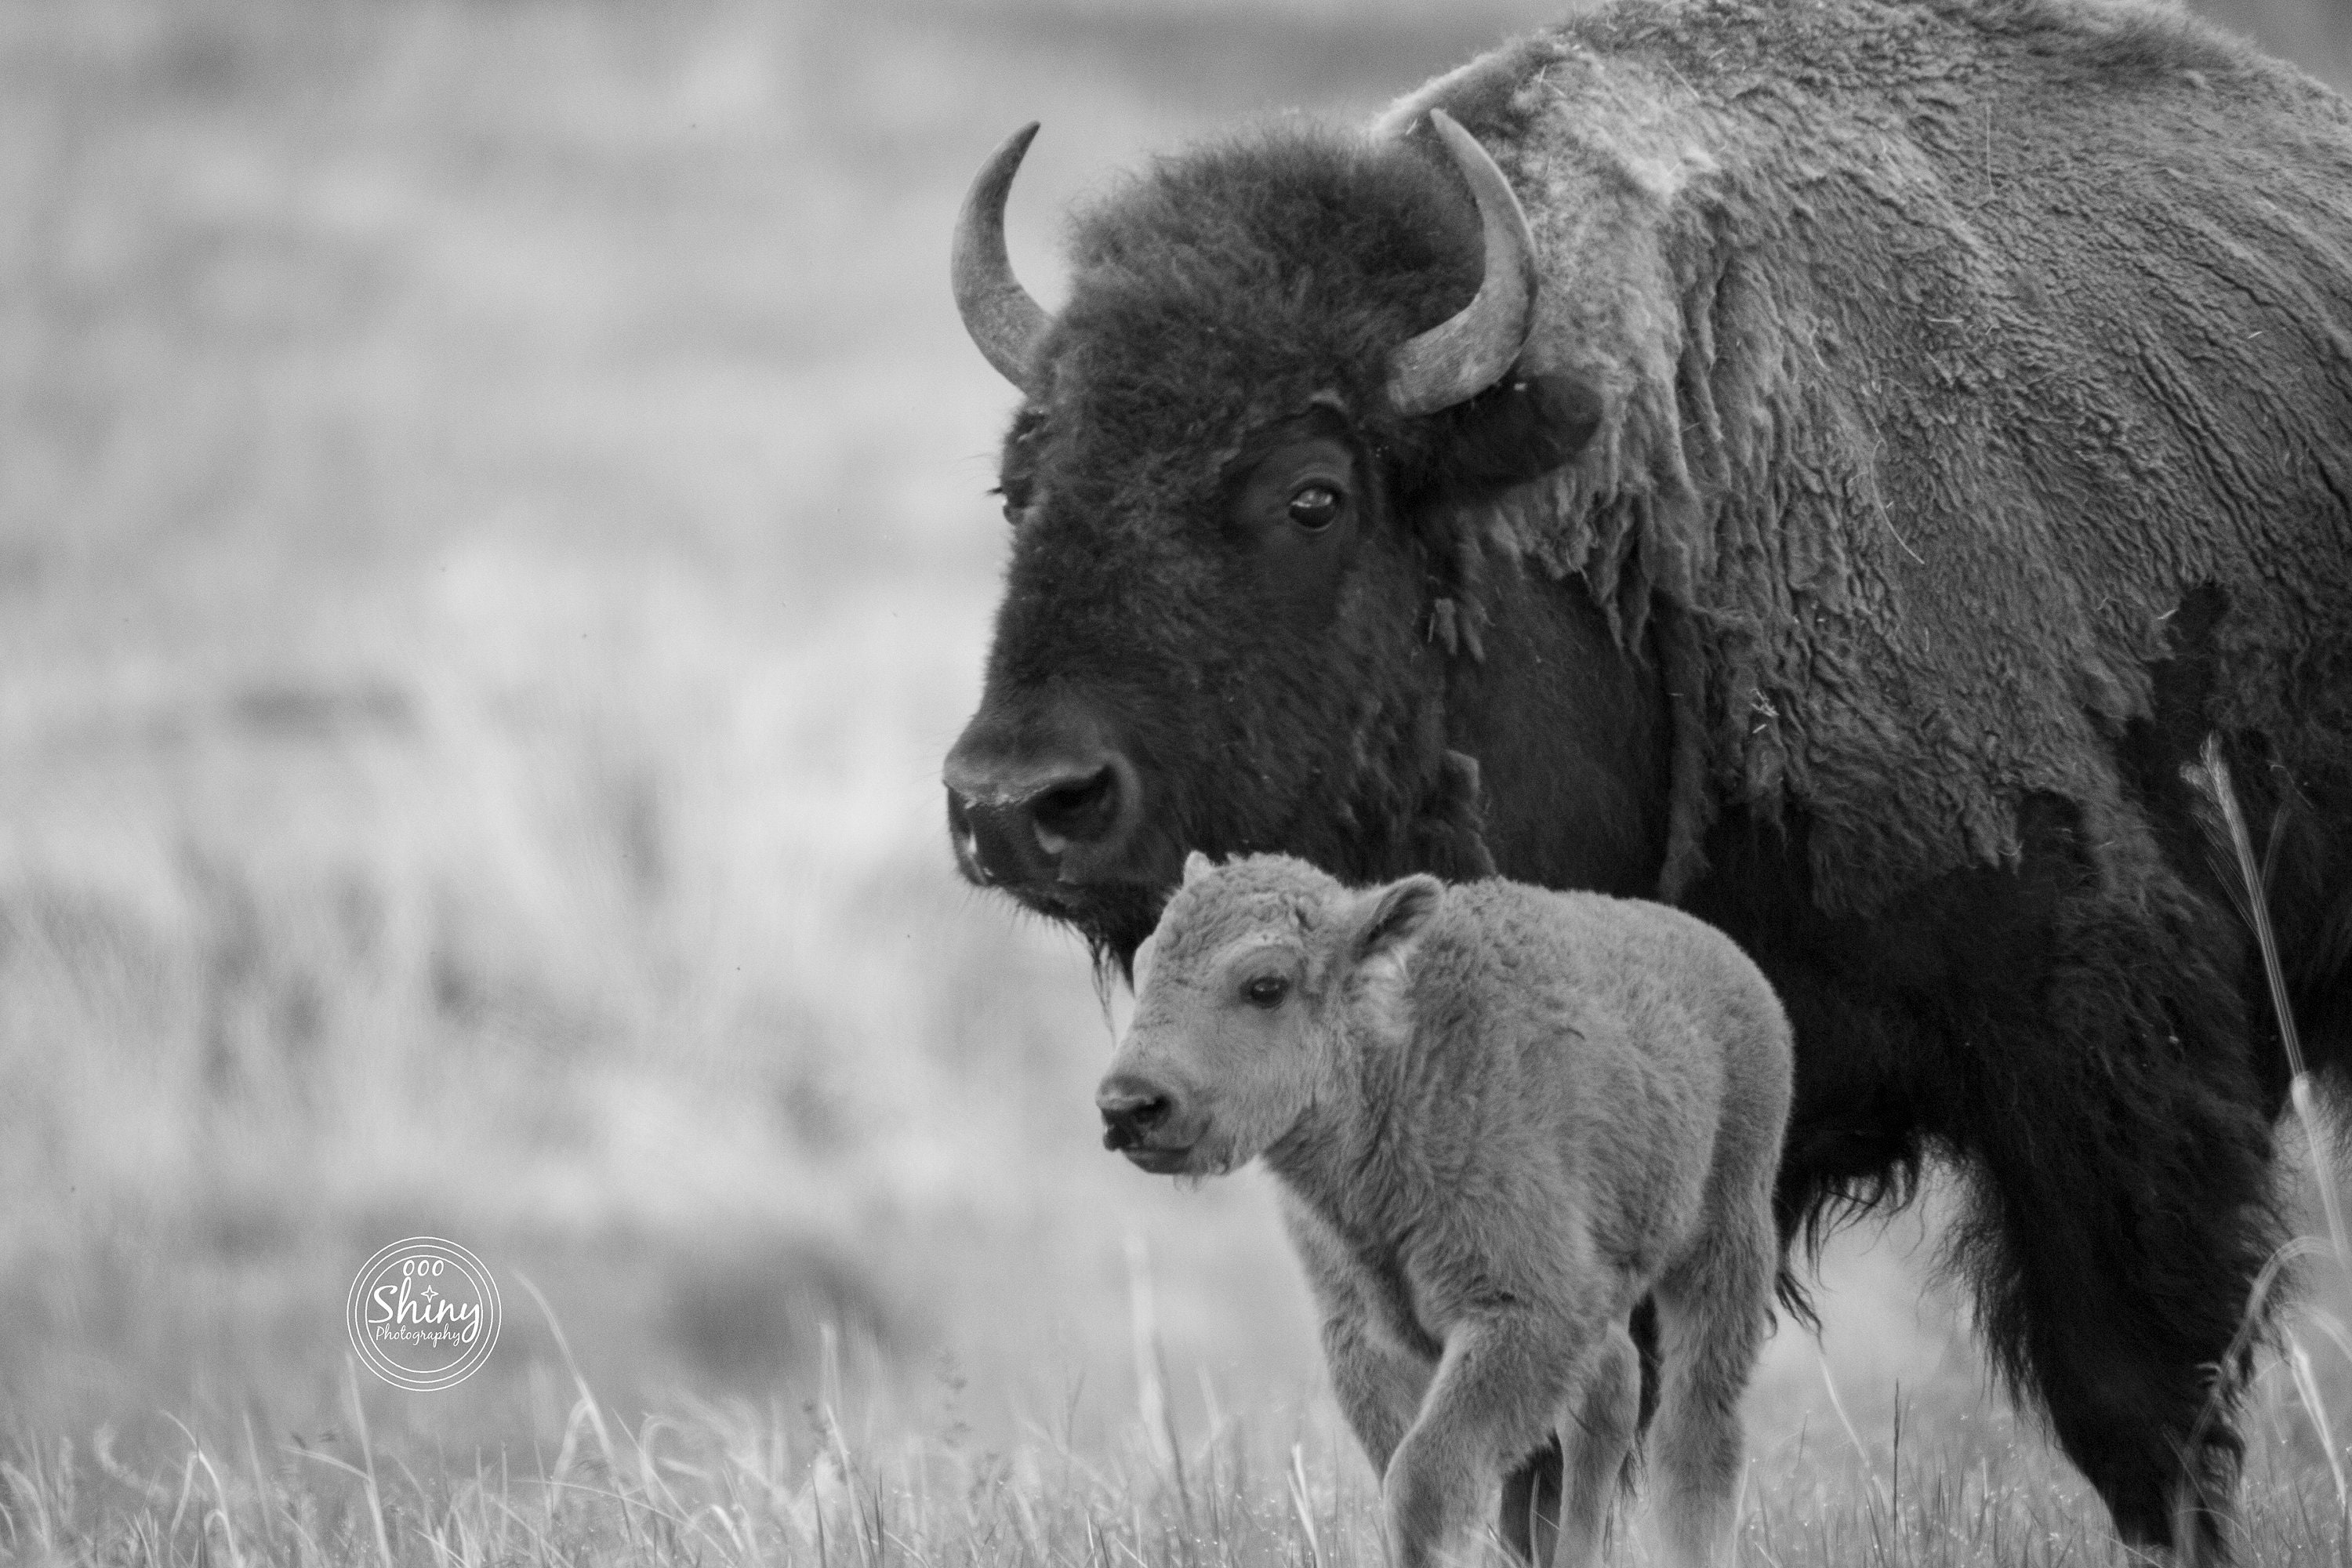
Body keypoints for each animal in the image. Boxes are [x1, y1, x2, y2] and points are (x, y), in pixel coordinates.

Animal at [940, 0, 2352, 1559]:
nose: (1016, 804)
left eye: (1315, 493)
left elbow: (2141, 1408)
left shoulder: (2102, 1062)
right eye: (1020, 489)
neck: (1652, 508)